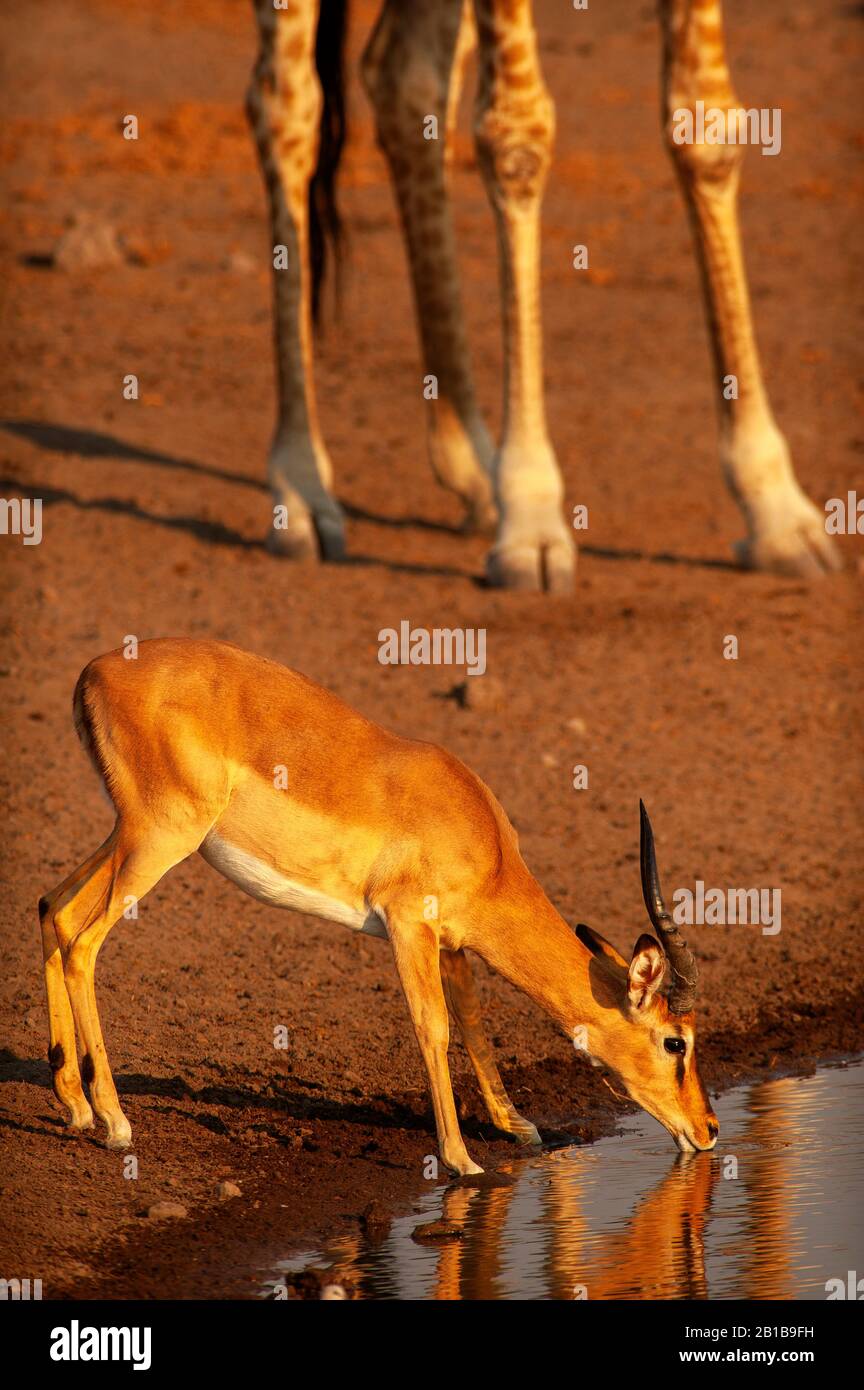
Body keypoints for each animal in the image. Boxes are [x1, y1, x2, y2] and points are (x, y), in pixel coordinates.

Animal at [40, 638, 718, 1172]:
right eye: (675, 1042)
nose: (709, 1130)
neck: (488, 846)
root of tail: (96, 670)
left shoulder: (450, 942)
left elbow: (472, 1019)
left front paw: (516, 1127)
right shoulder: (407, 924)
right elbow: (433, 1025)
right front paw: (461, 1160)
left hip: (131, 834)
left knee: (53, 906)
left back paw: (74, 1105)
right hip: (160, 838)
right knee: (82, 939)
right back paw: (115, 1123)